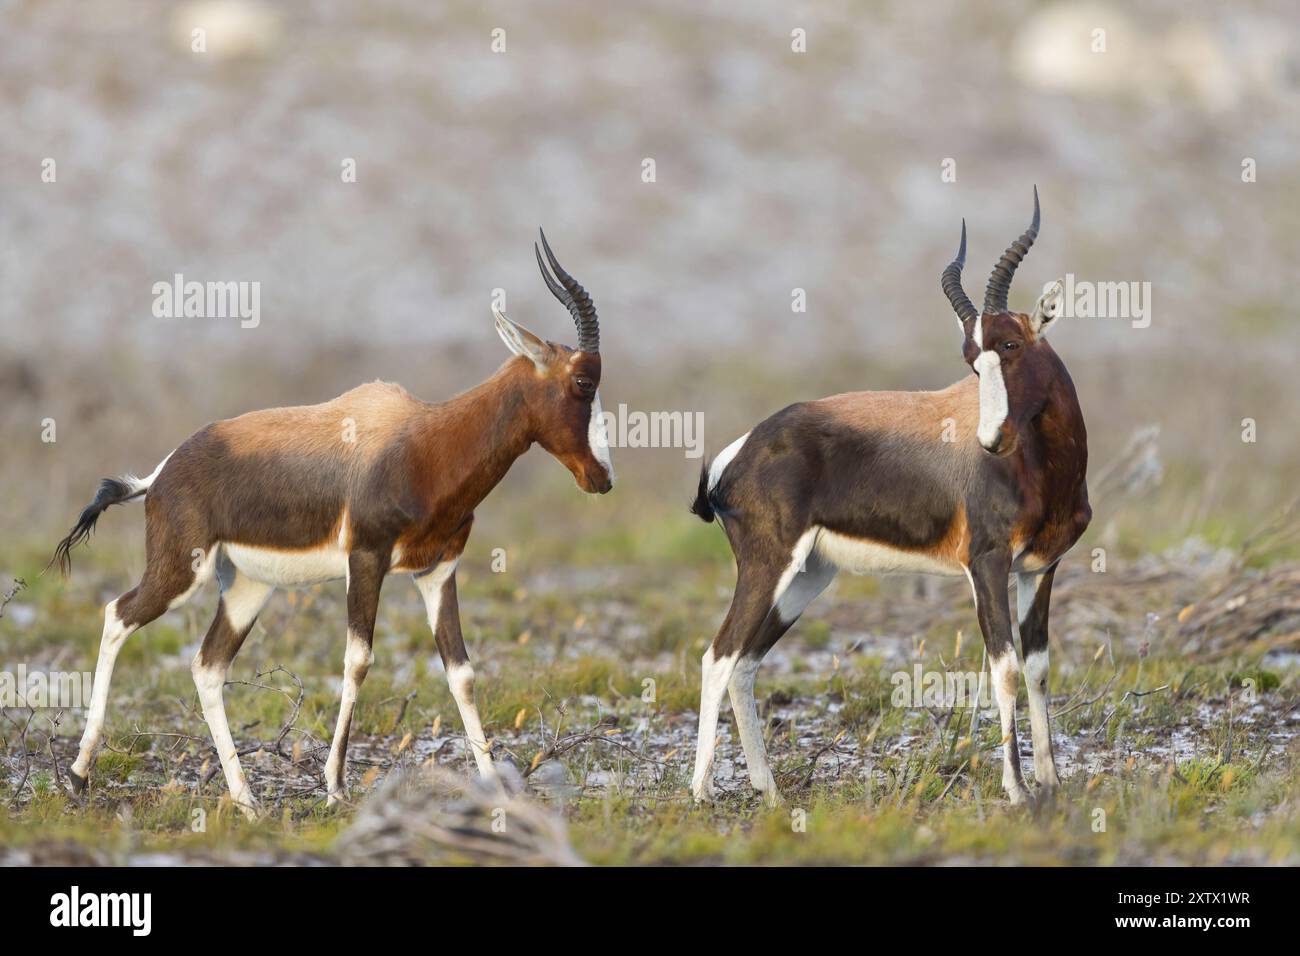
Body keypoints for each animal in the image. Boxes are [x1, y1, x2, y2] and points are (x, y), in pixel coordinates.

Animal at [51, 231, 613, 818]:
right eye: (583, 380)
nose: (601, 477)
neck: (422, 441)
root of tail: (161, 473)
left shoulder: (438, 570)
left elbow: (461, 671)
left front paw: (492, 787)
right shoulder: (365, 560)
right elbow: (358, 659)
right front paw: (336, 784)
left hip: (247, 588)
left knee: (207, 666)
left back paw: (246, 800)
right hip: (183, 572)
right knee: (117, 615)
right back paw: (79, 775)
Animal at [690, 190, 1090, 808]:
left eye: (1012, 344)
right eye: (970, 359)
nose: (991, 439)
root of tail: (740, 449)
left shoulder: (1040, 569)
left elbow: (1038, 667)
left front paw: (1050, 782)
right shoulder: (987, 566)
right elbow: (1003, 670)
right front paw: (1018, 790)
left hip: (808, 575)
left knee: (745, 665)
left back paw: (771, 792)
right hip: (768, 565)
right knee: (719, 656)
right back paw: (702, 792)